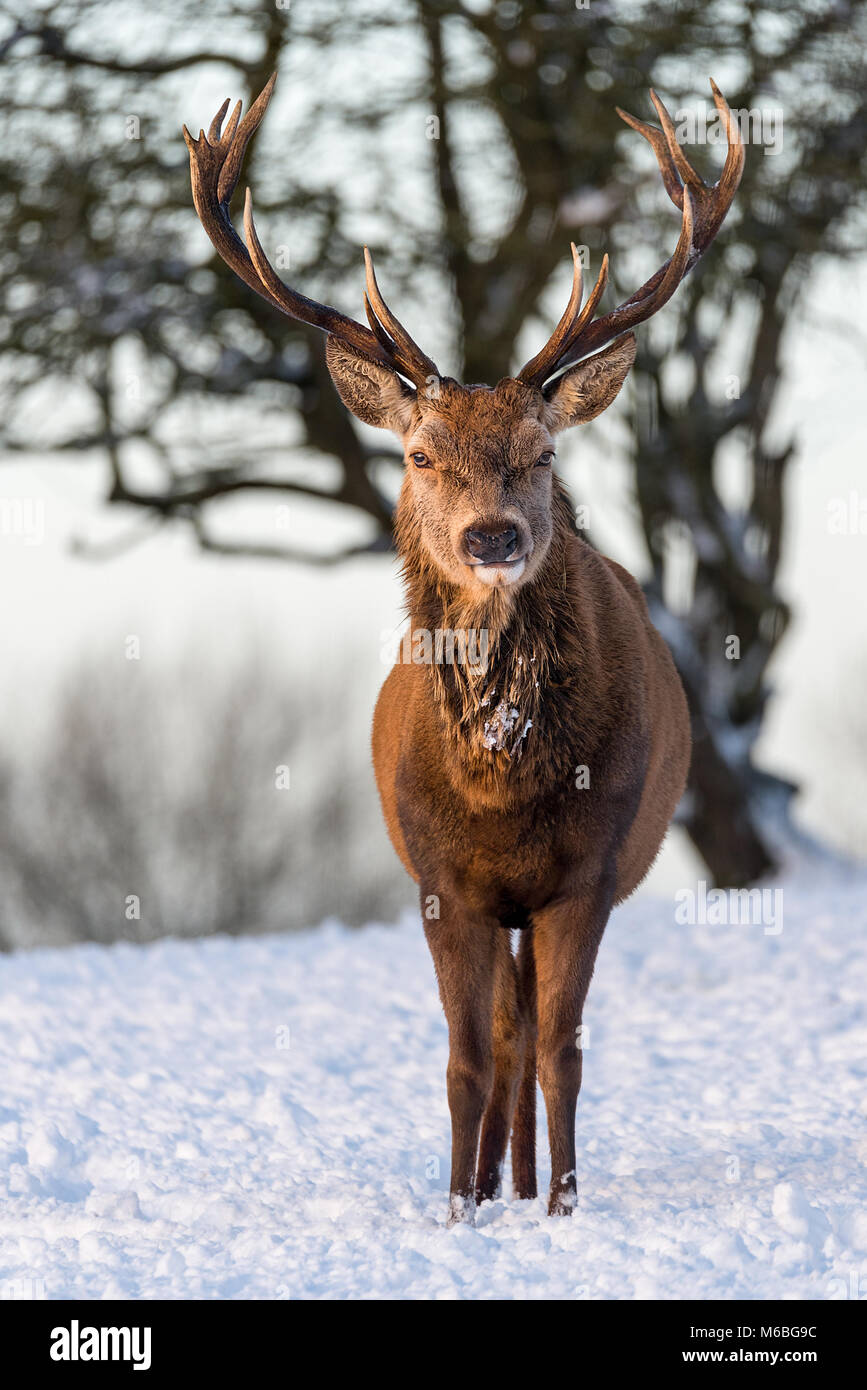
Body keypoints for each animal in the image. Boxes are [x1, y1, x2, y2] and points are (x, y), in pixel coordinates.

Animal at [185, 75, 743, 1223]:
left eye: (542, 453)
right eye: (420, 453)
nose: (494, 537)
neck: (500, 781)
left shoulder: (589, 869)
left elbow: (564, 1051)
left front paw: (564, 1210)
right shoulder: (443, 879)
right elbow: (463, 1058)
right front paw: (454, 1209)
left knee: (532, 1034)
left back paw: (527, 1185)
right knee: (501, 1033)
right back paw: (494, 1184)